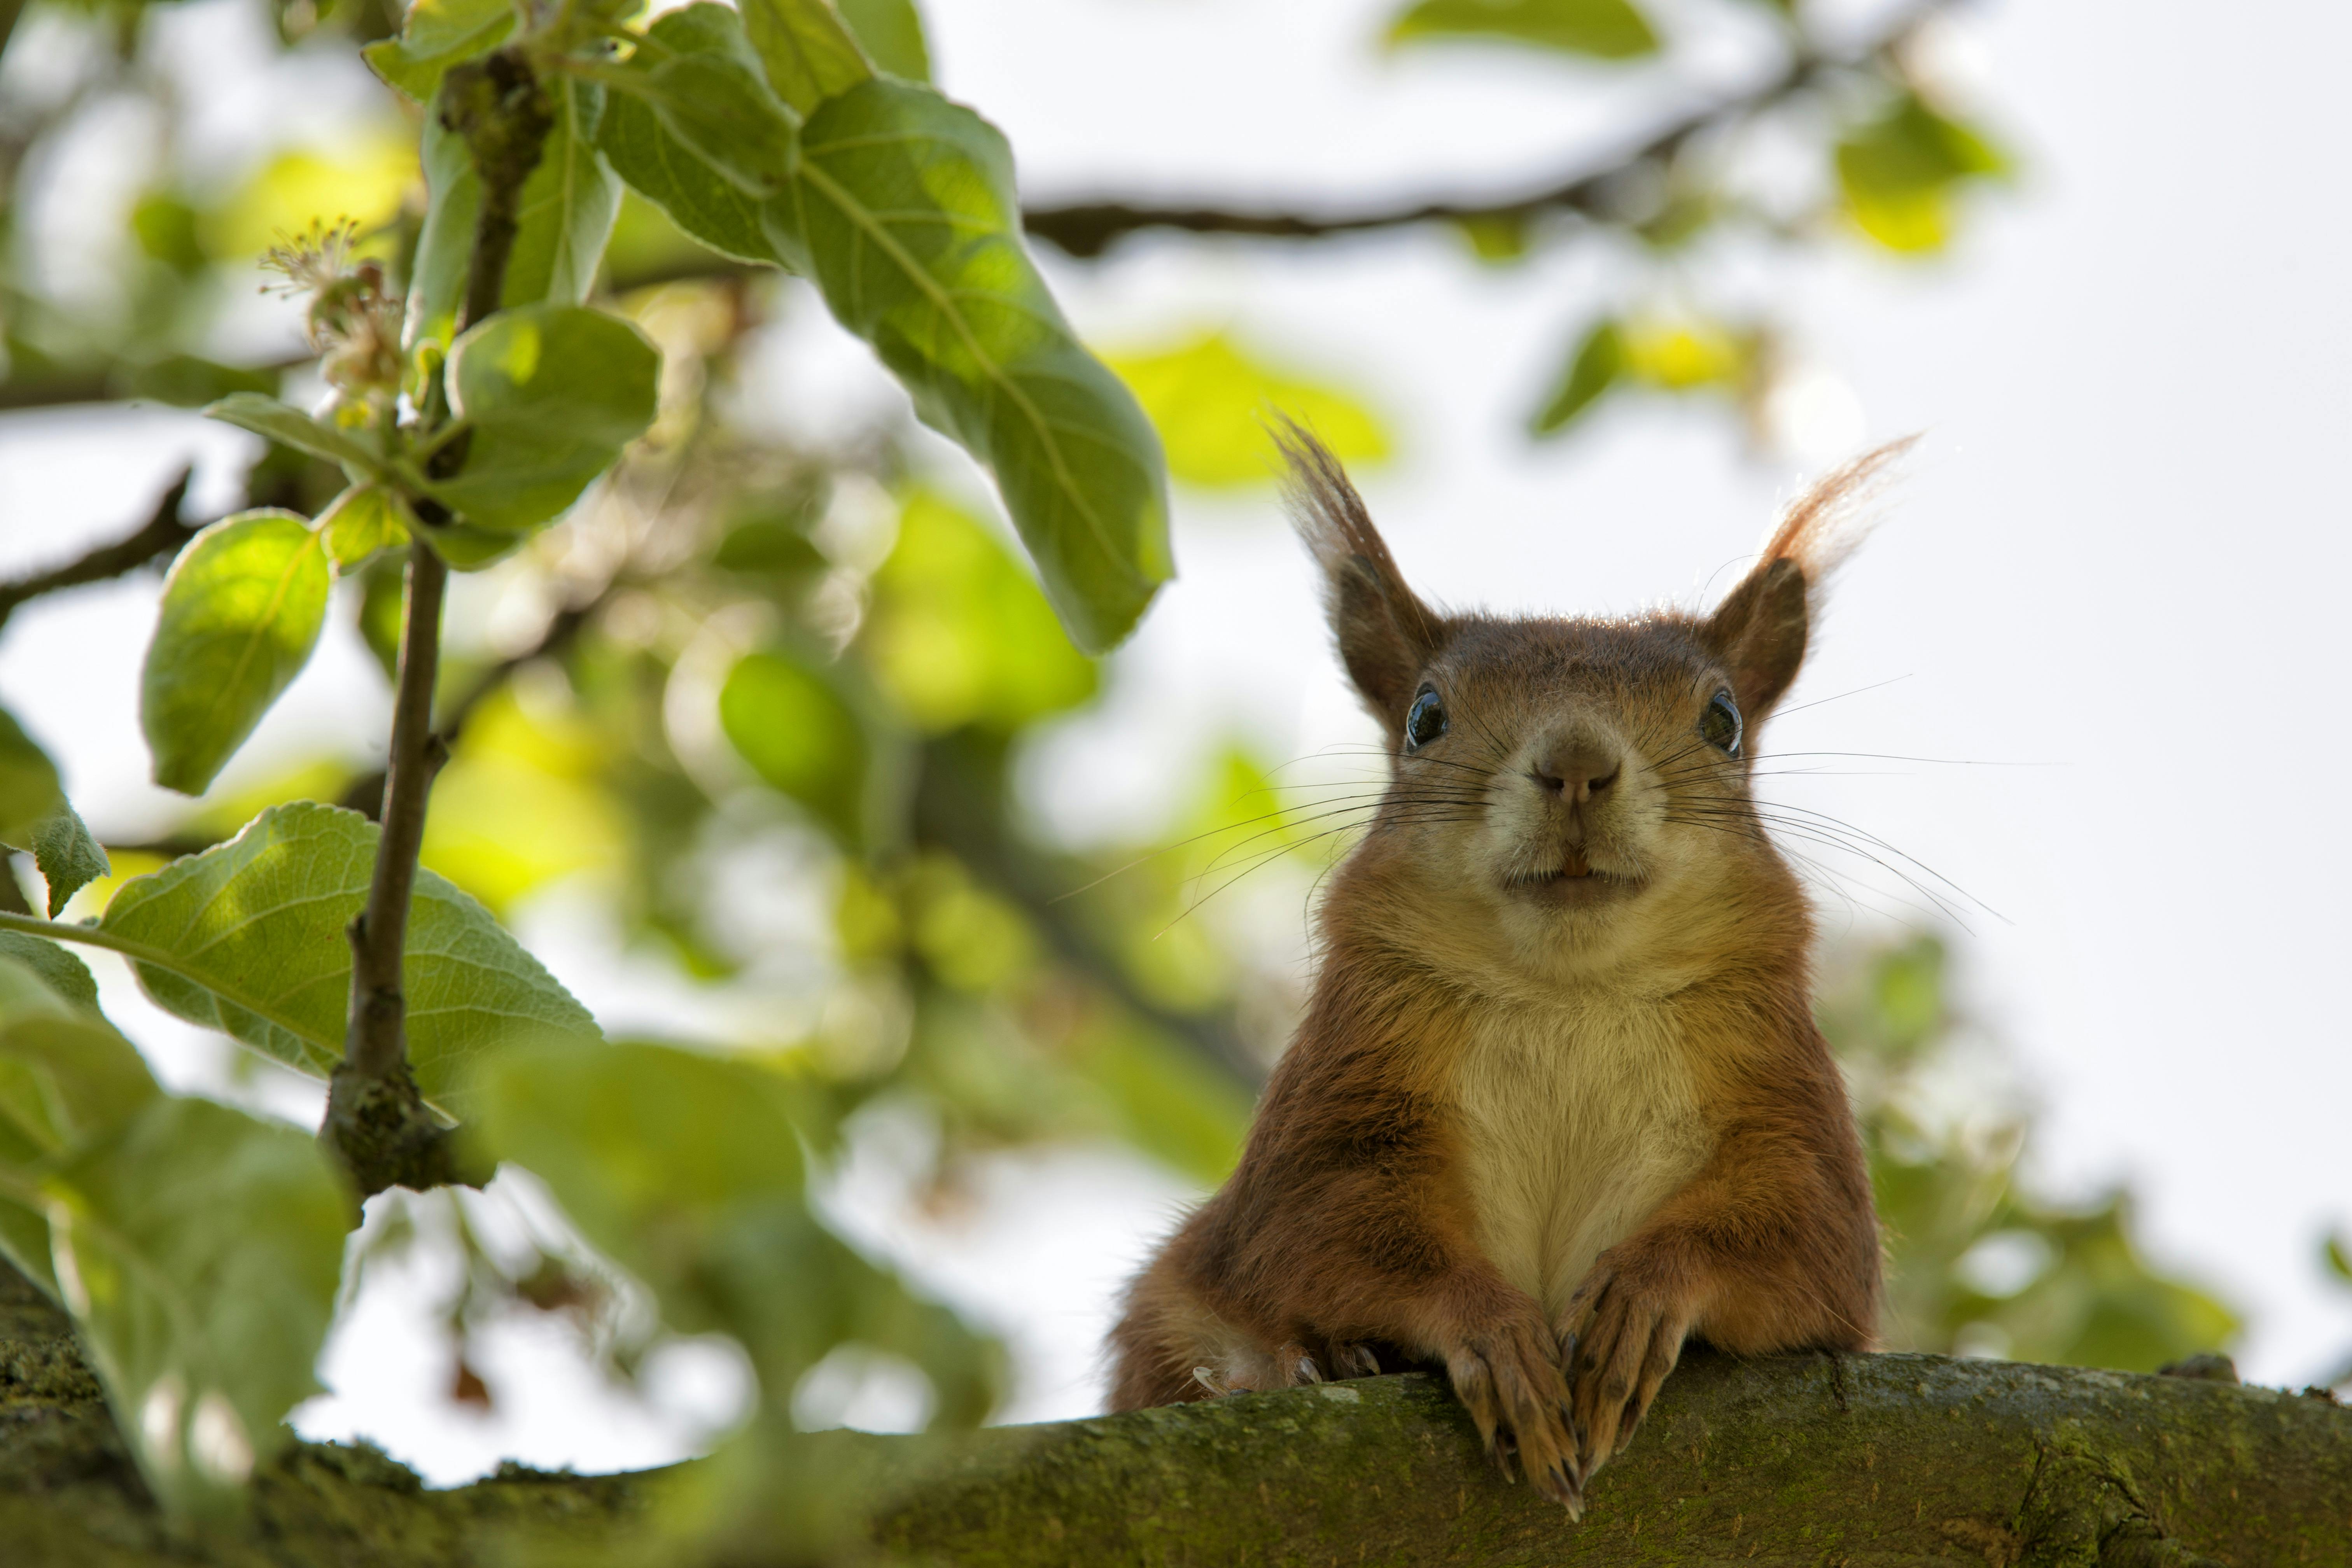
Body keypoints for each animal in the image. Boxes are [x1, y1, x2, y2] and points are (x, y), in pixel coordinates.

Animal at [1105, 427, 1894, 1517]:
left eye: (1725, 721)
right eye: (1425, 718)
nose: (1577, 765)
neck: (1571, 993)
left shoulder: (1790, 1115)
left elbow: (1806, 1246)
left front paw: (1642, 1298)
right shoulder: (1339, 1106)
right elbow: (1318, 1234)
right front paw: (1495, 1335)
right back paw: (1319, 1362)